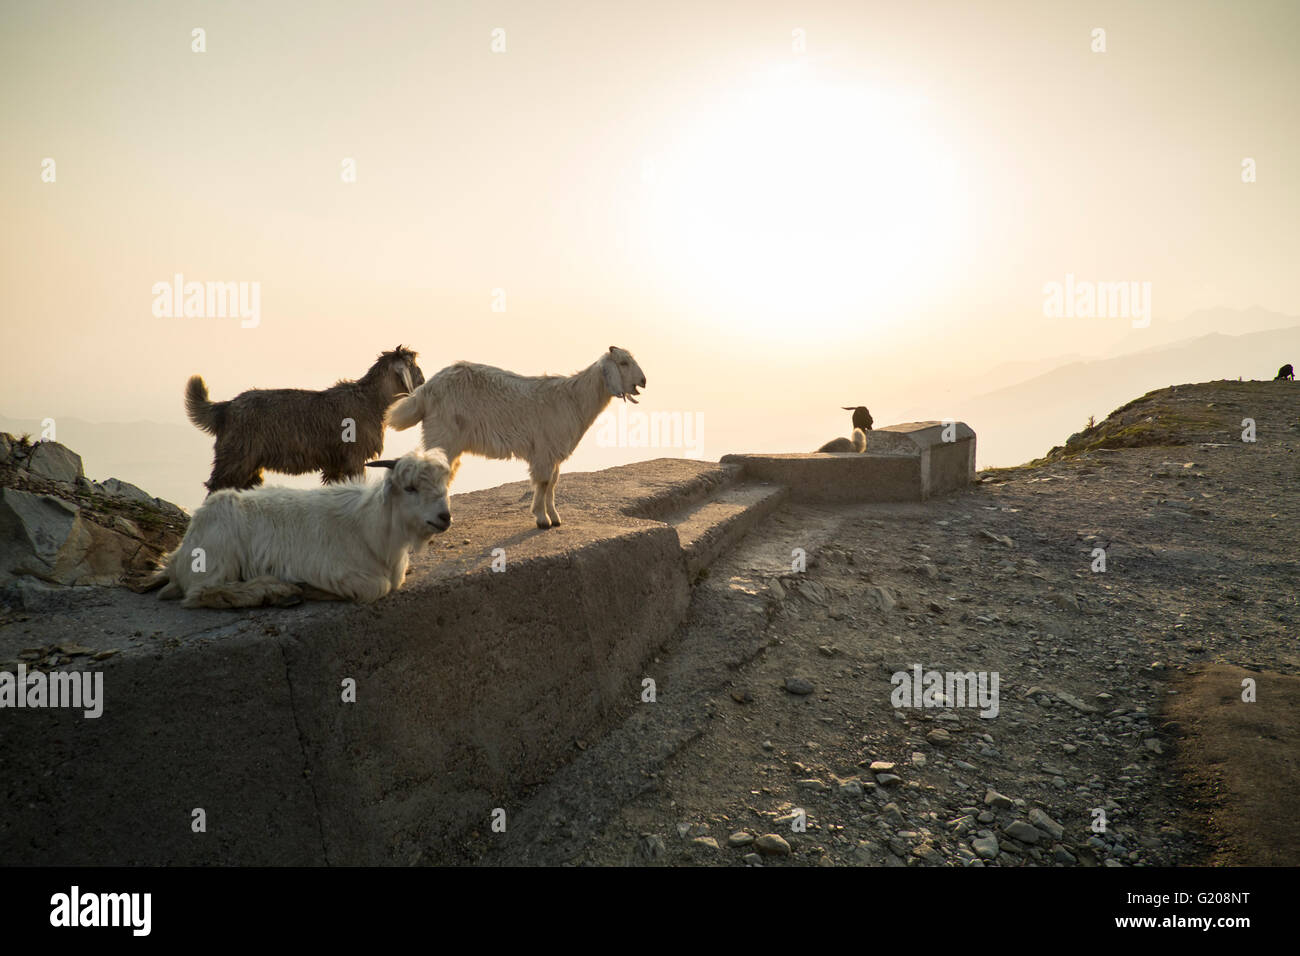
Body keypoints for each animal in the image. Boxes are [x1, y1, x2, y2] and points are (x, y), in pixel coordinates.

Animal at [151, 449, 452, 608]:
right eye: (410, 488)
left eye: (443, 484)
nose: (444, 517)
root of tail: (178, 556)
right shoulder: (334, 569)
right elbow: (377, 586)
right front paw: (312, 589)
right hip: (215, 556)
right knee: (204, 592)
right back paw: (277, 590)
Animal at [186, 345, 424, 494]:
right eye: (414, 366)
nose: (422, 381)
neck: (371, 401)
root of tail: (226, 407)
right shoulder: (354, 457)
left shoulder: (335, 463)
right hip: (236, 456)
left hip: (251, 463)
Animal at [387, 346, 646, 528]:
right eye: (623, 362)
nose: (643, 381)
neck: (573, 398)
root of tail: (424, 392)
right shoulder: (543, 450)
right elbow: (543, 482)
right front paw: (542, 519)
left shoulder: (554, 452)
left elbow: (553, 482)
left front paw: (555, 517)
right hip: (442, 434)